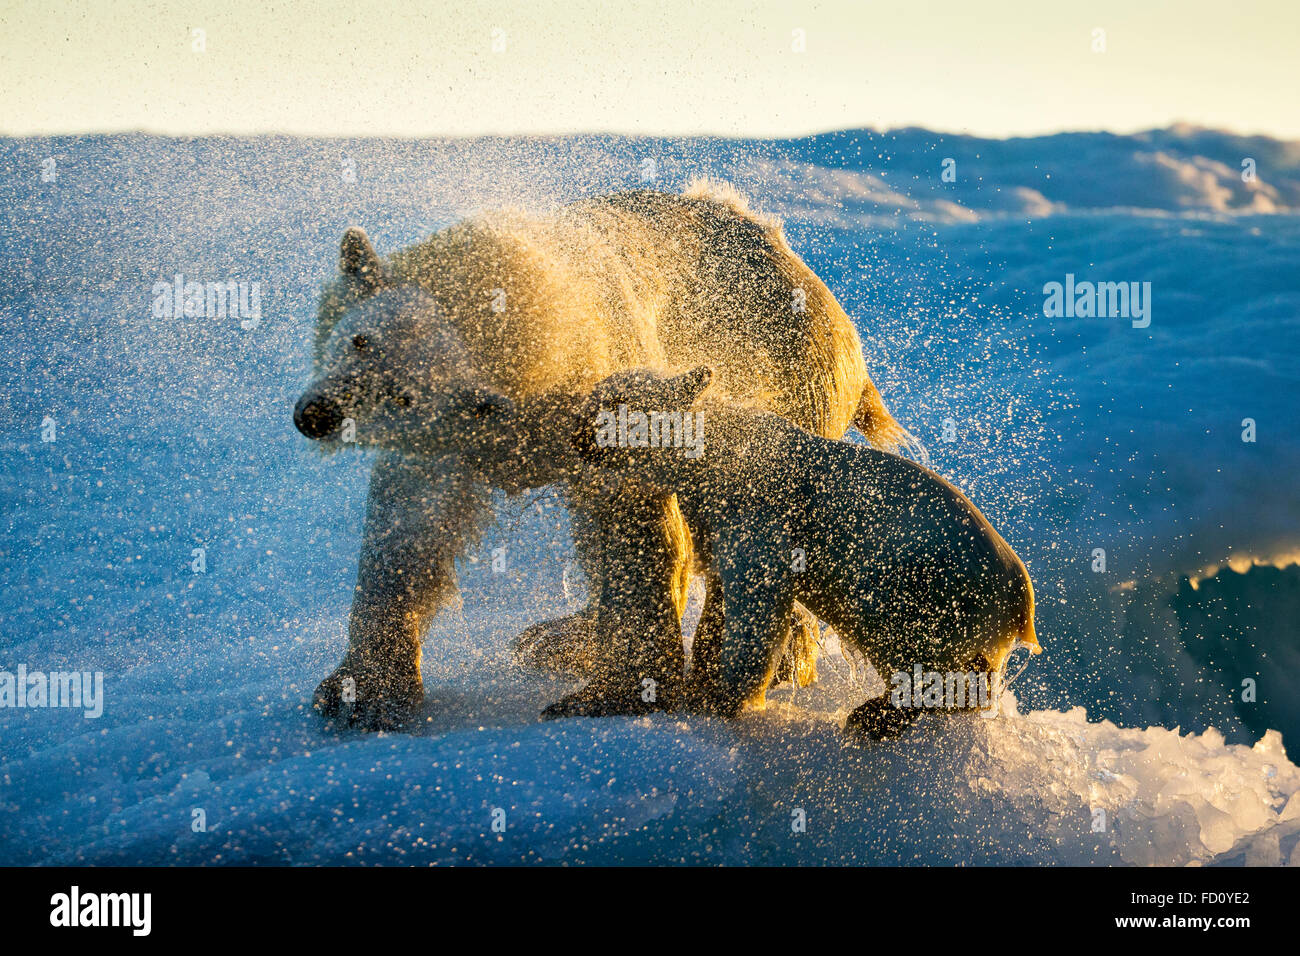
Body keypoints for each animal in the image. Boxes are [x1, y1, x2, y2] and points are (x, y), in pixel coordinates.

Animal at [293, 182, 916, 729]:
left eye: (406, 392)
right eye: (360, 340)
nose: (316, 414)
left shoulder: (608, 394)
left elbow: (634, 527)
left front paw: (616, 693)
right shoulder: (442, 446)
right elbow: (408, 530)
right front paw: (361, 693)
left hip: (785, 374)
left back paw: (766, 660)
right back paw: (561, 637)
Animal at [562, 366, 1040, 736]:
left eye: (611, 399)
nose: (574, 428)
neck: (722, 452)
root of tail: (1022, 601)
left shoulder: (762, 512)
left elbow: (757, 604)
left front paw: (720, 697)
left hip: (930, 589)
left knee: (922, 659)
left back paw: (875, 715)